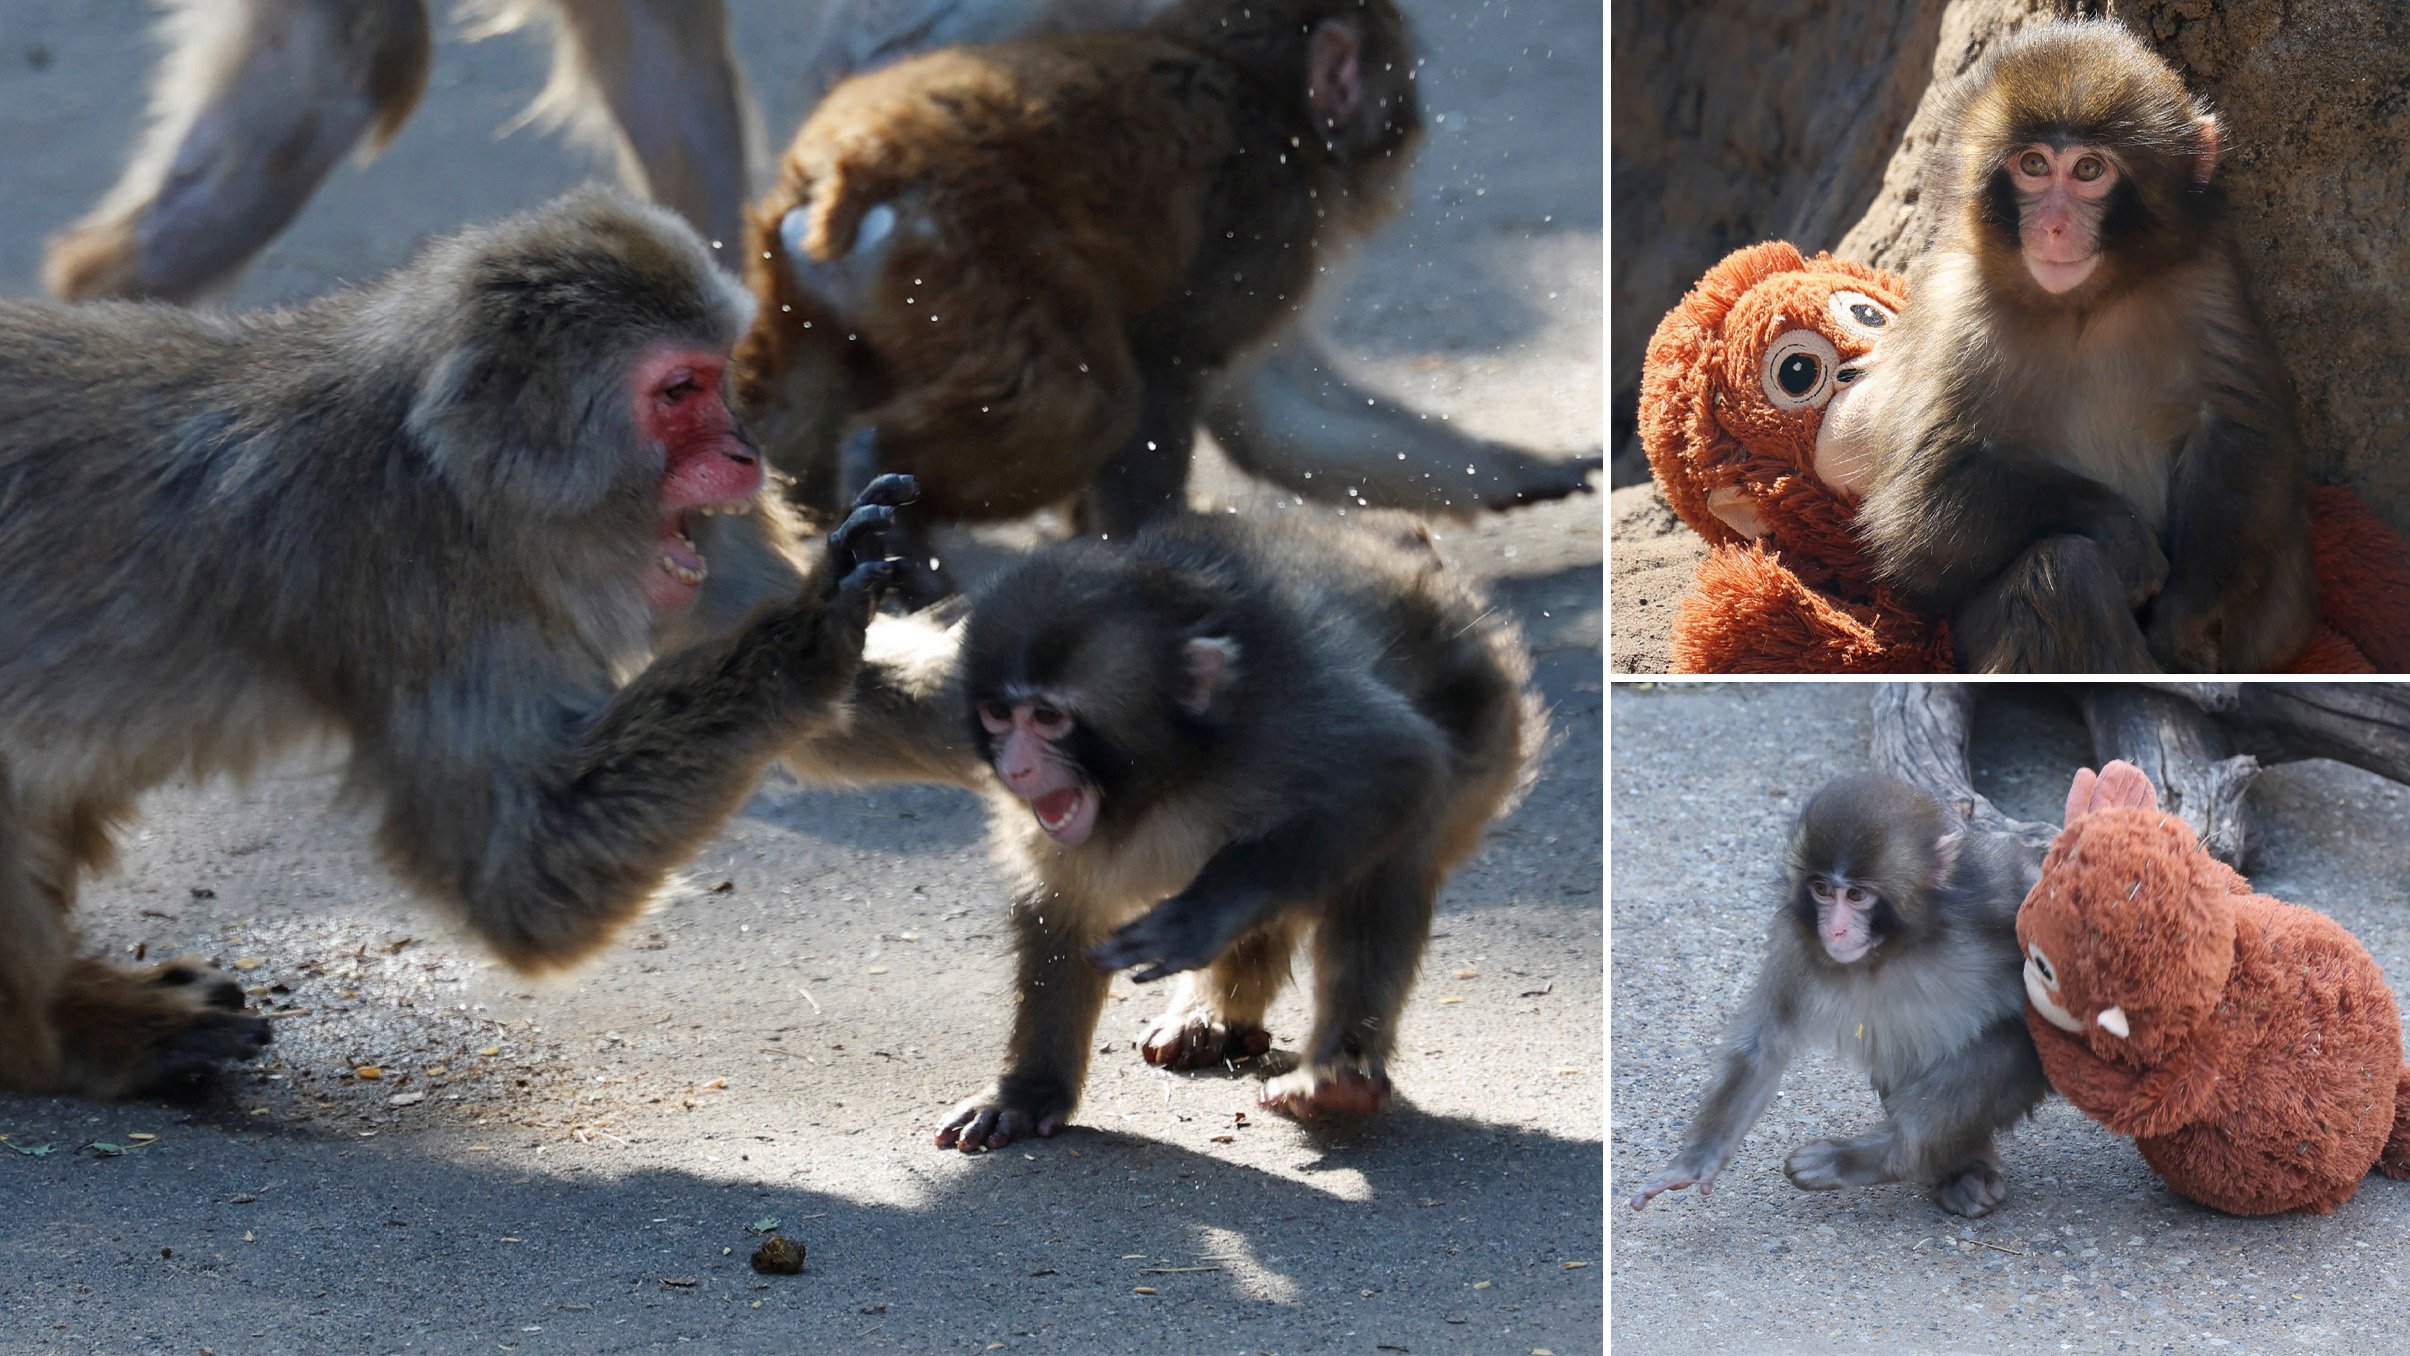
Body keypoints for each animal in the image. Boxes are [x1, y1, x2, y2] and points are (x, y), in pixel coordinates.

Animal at [0, 188, 916, 1099]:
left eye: (720, 379)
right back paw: (67, 1039)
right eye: (681, 389)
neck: (459, 478)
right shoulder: (415, 582)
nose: (746, 452)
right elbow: (525, 877)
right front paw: (814, 628)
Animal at [778, 512, 1540, 1148]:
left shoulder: (1278, 718)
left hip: (1484, 719)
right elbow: (837, 719)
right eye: (998, 714)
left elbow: (1398, 764)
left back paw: (1336, 1077)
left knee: (1390, 854)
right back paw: (1211, 1019)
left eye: (1049, 718)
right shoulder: (952, 702)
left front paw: (1195, 919)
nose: (1018, 768)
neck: (1157, 781)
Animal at [1627, 774, 2046, 1218]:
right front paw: (1696, 1161)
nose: (1836, 930)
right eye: (1822, 890)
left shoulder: (1997, 894)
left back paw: (1878, 1156)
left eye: (1857, 896)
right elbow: (1764, 1045)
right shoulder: (1798, 942)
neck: (1900, 945)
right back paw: (1959, 1171)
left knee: (2005, 1045)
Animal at [1854, 18, 2314, 674]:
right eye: (2034, 164)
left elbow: (2239, 430)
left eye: (2090, 171)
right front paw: (2120, 532)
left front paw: (2185, 616)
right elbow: (1921, 502)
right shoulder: (1956, 305)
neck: (2083, 306)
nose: (2052, 226)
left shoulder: (2207, 275)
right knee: (2062, 570)